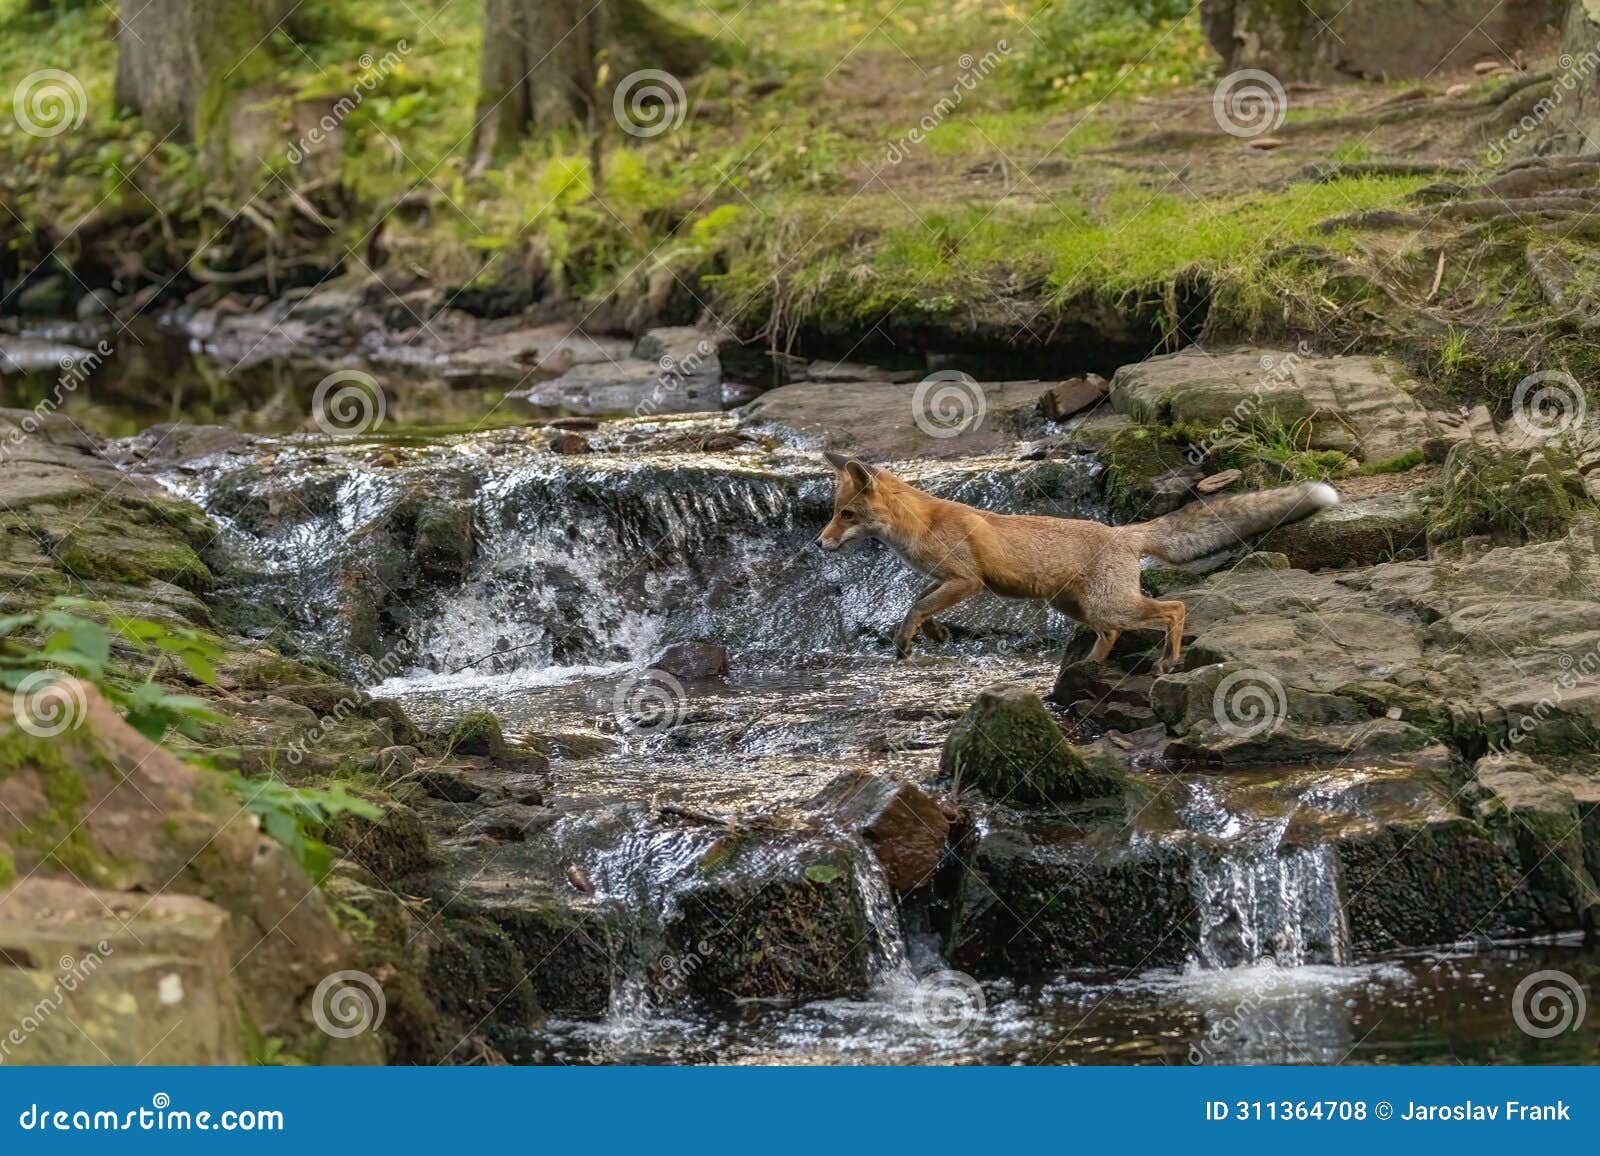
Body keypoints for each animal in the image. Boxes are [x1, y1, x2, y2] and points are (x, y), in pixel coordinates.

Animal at [815, 450, 1338, 673]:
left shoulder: (967, 579)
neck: (921, 526)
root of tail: (1121, 531)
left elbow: (917, 606)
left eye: (846, 515)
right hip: (1075, 607)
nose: (820, 544)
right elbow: (918, 600)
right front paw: (934, 634)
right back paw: (1085, 668)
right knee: (1112, 634)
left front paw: (908, 639)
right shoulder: (946, 579)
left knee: (1174, 609)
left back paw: (1168, 660)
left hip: (1109, 604)